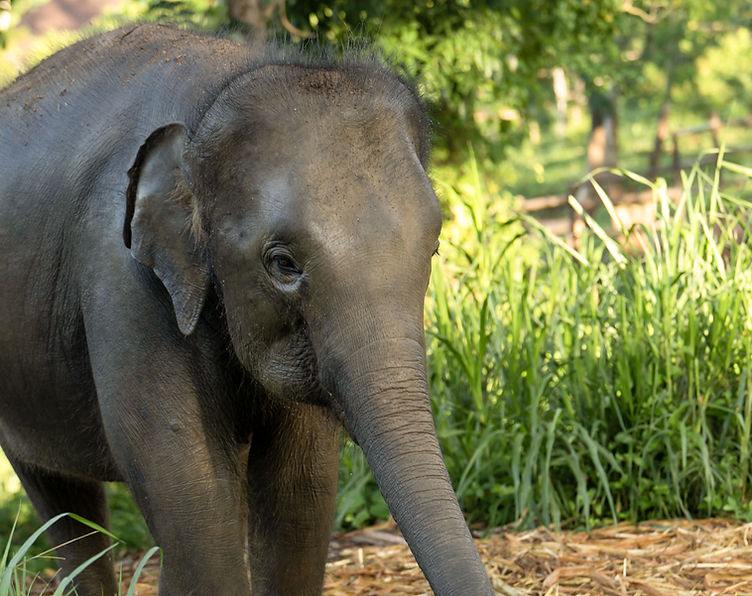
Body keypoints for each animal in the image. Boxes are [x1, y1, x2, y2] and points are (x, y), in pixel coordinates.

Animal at [0, 23, 493, 596]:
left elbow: (299, 500)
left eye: (433, 248)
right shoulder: (120, 278)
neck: (216, 93)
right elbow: (195, 509)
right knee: (58, 498)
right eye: (282, 263)